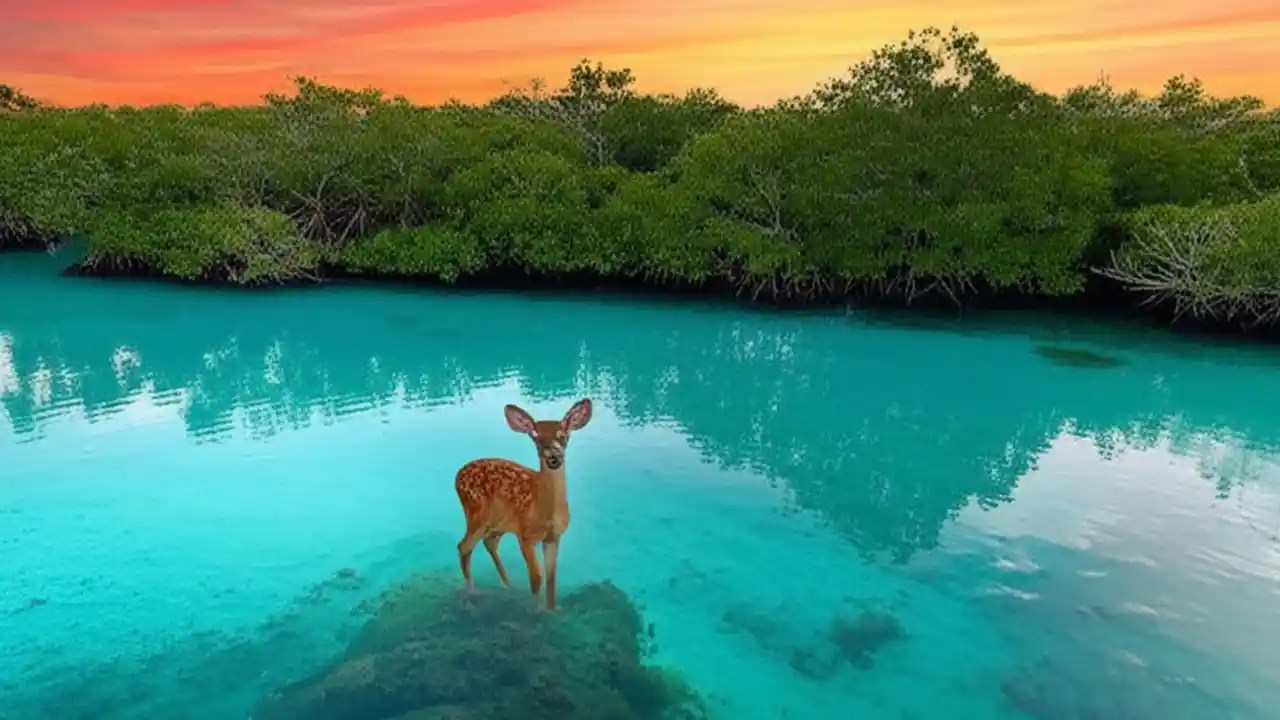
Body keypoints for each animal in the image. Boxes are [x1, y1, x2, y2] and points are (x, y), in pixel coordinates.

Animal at [454, 398, 593, 611]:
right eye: (535, 437)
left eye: (564, 435)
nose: (554, 458)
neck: (545, 510)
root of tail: (457, 476)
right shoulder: (526, 536)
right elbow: (536, 577)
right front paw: (535, 609)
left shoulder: (553, 537)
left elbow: (551, 577)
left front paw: (553, 610)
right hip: (476, 513)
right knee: (464, 546)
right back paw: (473, 591)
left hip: (498, 523)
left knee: (489, 542)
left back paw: (507, 585)